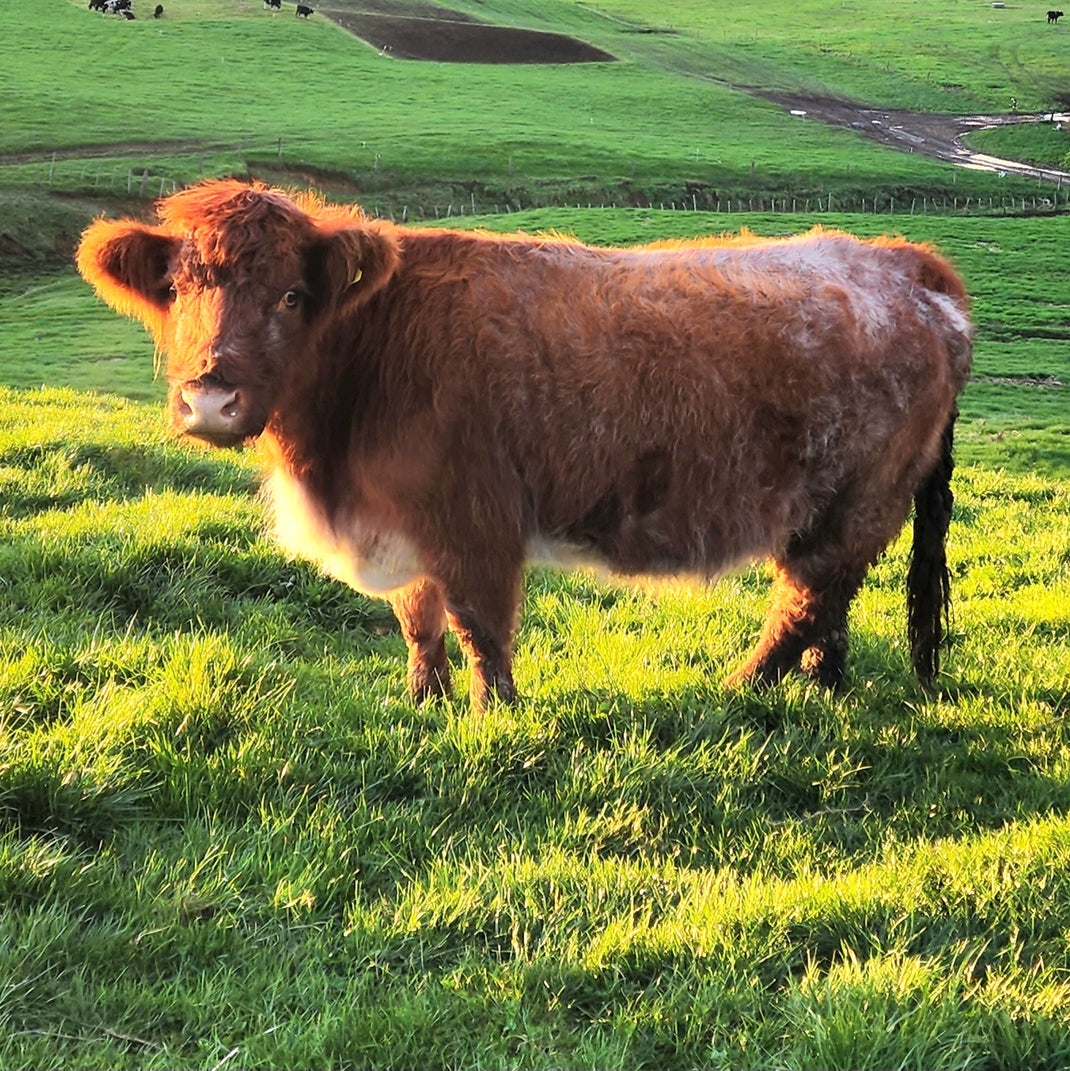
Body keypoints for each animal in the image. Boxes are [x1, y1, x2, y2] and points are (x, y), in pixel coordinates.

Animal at [76, 180, 973, 710]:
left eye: (293, 295)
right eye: (177, 287)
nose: (211, 396)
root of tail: (898, 260)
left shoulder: (473, 517)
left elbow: (478, 622)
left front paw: (493, 714)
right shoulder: (403, 516)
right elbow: (418, 617)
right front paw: (425, 702)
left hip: (860, 499)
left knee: (806, 598)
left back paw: (734, 692)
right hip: (833, 507)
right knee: (828, 603)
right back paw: (824, 689)